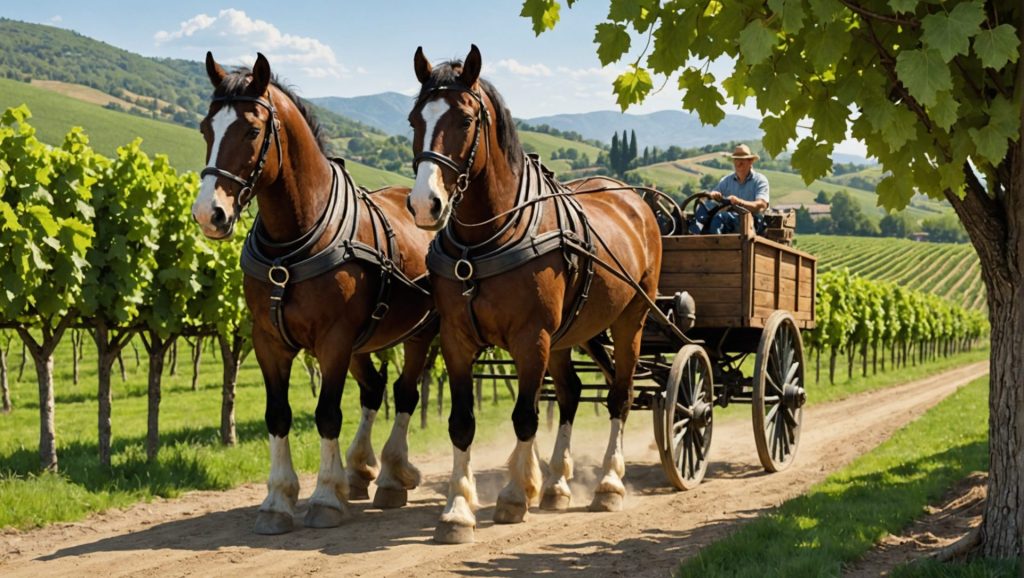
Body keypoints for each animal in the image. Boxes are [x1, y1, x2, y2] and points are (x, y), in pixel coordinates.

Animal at [192, 52, 436, 535]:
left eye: (251, 131)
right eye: (207, 128)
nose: (209, 214)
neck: (292, 244)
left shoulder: (333, 340)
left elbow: (327, 414)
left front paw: (324, 498)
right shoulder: (268, 340)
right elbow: (278, 415)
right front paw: (278, 500)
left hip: (420, 332)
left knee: (404, 394)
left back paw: (391, 475)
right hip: (364, 342)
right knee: (374, 390)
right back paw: (358, 471)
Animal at [406, 45, 663, 543]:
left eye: (465, 120)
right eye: (413, 119)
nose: (426, 204)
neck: (482, 243)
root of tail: (634, 199)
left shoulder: (532, 339)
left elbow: (525, 415)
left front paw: (512, 495)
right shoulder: (457, 340)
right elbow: (461, 424)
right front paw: (457, 510)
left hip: (630, 321)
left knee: (620, 396)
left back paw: (608, 484)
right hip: (568, 334)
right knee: (571, 393)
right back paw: (558, 484)